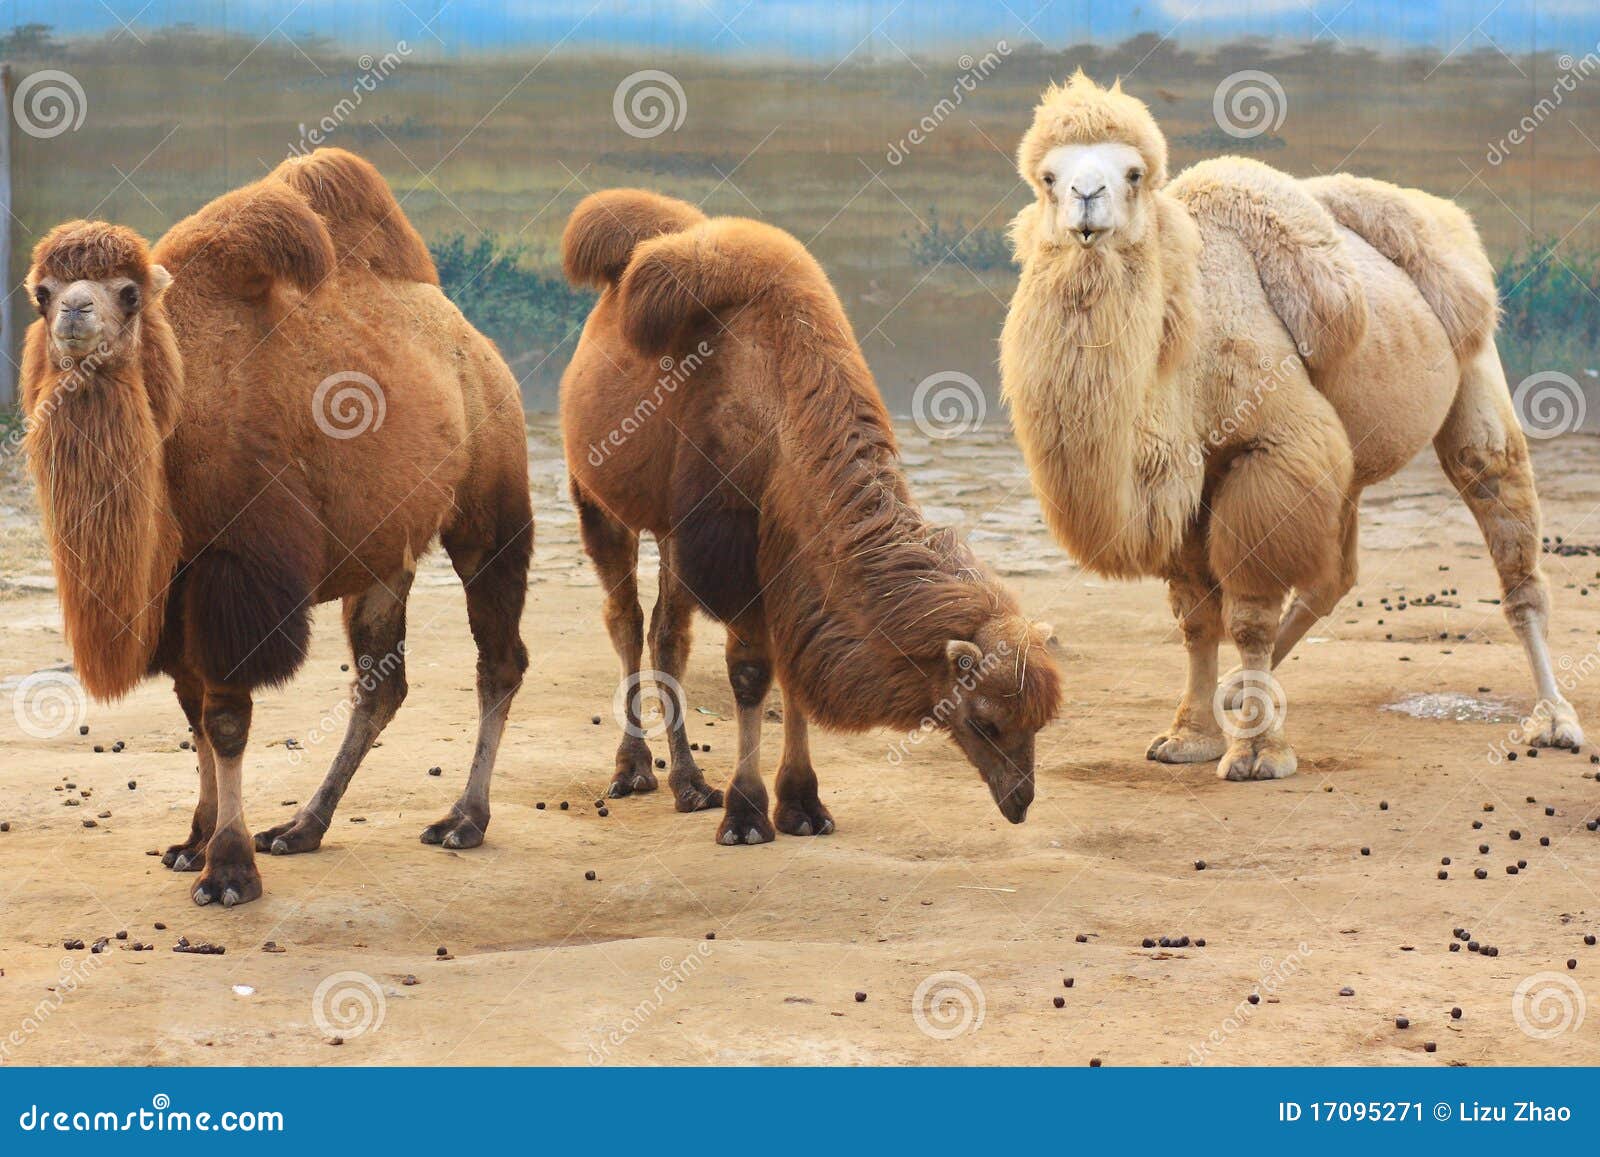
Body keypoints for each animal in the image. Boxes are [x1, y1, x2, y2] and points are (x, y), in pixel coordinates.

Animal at [21, 149, 532, 906]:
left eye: (129, 292)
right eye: (43, 292)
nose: (75, 314)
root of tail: (472, 341)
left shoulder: (234, 570)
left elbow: (226, 719)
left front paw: (229, 870)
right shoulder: (174, 588)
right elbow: (192, 709)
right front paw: (194, 840)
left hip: (489, 507)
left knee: (498, 658)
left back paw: (463, 819)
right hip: (384, 554)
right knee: (381, 686)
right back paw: (302, 826)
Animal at [560, 190, 1061, 844]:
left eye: (1039, 722)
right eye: (985, 721)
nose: (1020, 800)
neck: (786, 422)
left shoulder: (785, 562)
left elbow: (793, 673)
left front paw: (802, 805)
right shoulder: (736, 560)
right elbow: (752, 674)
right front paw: (746, 815)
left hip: (672, 534)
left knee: (667, 636)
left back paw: (690, 785)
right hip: (599, 501)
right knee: (624, 618)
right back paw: (634, 770)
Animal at [1000, 73, 1583, 781]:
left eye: (1133, 174)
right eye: (1048, 178)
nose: (1087, 200)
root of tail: (1448, 220)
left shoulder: (1270, 446)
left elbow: (1247, 613)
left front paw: (1257, 753)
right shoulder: (1190, 482)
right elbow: (1197, 618)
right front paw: (1190, 734)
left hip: (1476, 362)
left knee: (1504, 520)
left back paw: (1554, 719)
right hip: (1350, 455)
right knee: (1338, 572)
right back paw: (1238, 697)